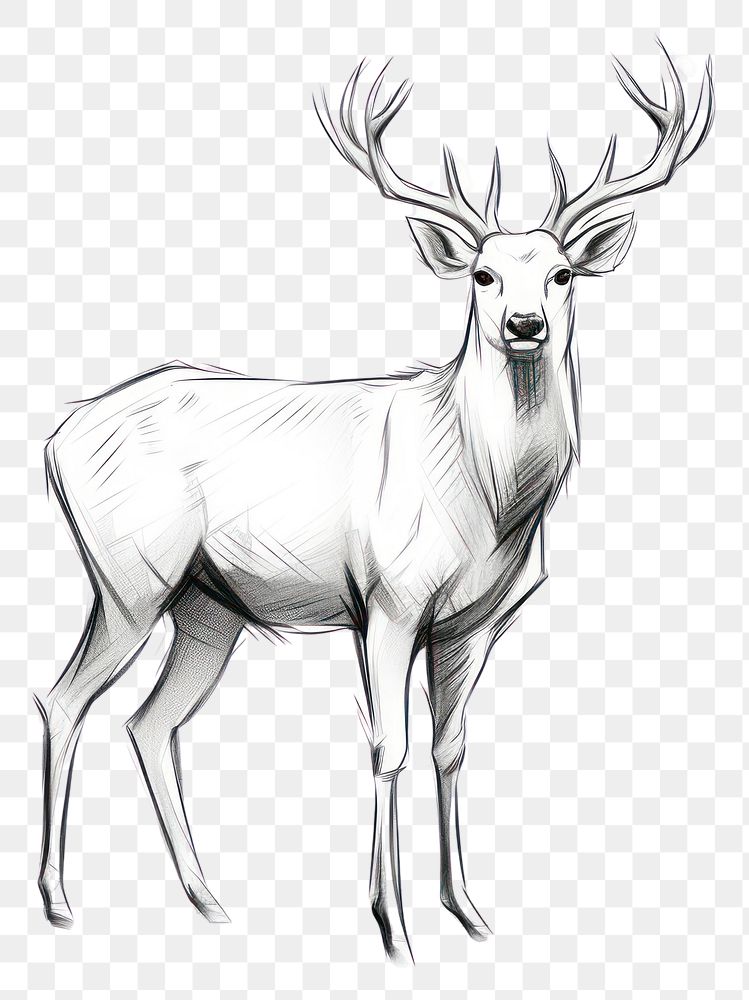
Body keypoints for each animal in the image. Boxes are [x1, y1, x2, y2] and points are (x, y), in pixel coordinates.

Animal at [35, 44, 714, 962]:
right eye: (482, 274)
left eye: (562, 273)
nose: (525, 324)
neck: (485, 500)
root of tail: (55, 441)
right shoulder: (387, 598)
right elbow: (388, 745)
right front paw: (391, 925)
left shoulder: (474, 622)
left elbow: (449, 747)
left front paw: (468, 911)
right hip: (128, 575)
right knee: (64, 700)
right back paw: (58, 900)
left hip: (208, 606)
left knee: (151, 720)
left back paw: (208, 900)